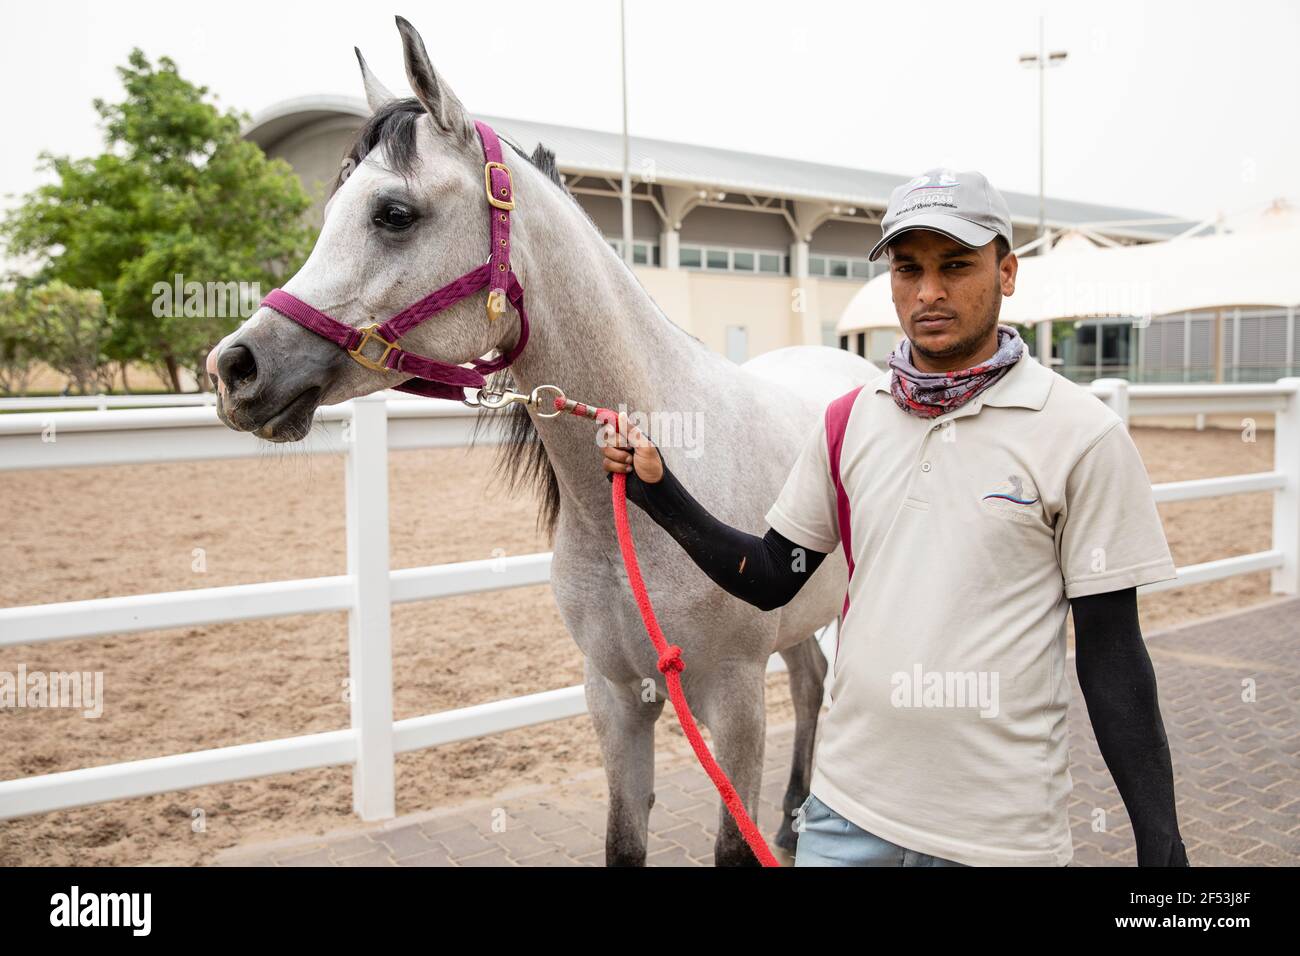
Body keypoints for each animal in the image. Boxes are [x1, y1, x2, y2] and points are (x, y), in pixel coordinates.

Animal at [208, 15, 878, 865]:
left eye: (393, 213)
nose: (235, 367)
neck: (635, 513)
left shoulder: (732, 698)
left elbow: (734, 844)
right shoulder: (614, 695)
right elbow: (623, 842)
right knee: (812, 679)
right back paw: (792, 817)